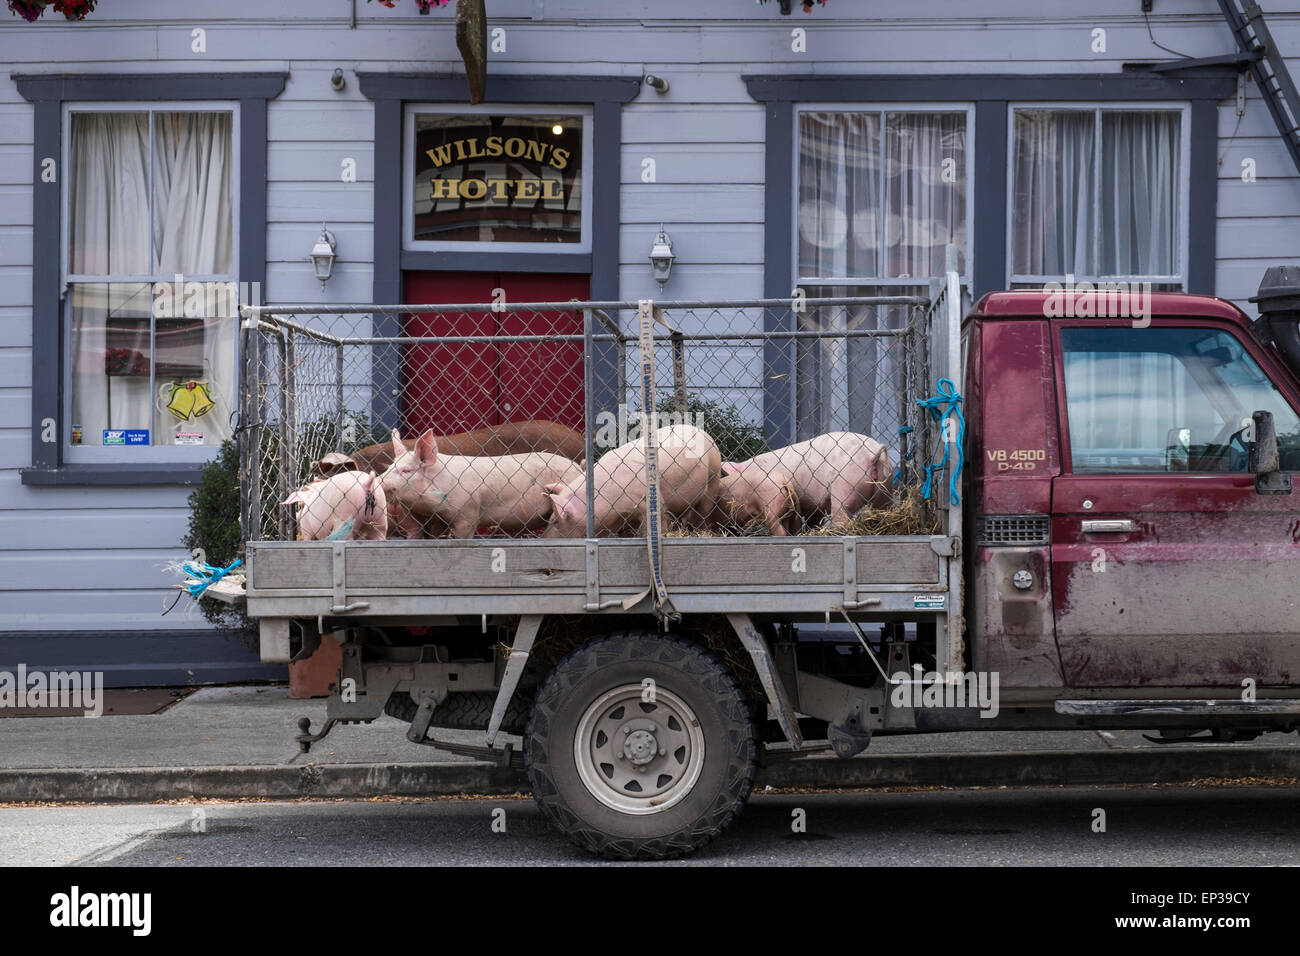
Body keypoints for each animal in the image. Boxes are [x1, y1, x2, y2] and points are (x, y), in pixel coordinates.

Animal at [381, 429, 583, 538]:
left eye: (406, 470)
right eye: (390, 466)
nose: (380, 480)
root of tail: (578, 469)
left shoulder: (468, 512)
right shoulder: (436, 519)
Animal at [543, 424, 722, 538]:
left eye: (555, 521)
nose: (543, 539)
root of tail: (703, 432)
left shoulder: (651, 502)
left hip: (713, 475)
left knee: (704, 510)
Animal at [723, 431, 893, 532]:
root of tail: (871, 453)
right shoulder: (813, 505)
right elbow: (813, 519)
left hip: (845, 486)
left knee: (841, 514)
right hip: (886, 485)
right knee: (884, 508)